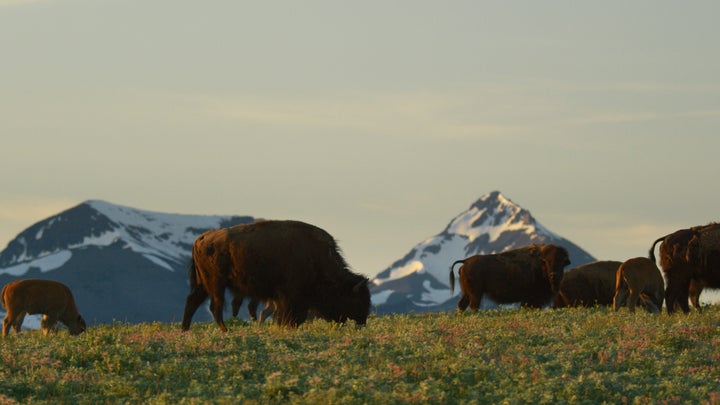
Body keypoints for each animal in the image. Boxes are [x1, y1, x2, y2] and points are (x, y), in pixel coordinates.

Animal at [181, 220, 370, 330]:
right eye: (357, 299)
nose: (362, 321)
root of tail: (201, 238)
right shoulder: (291, 297)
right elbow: (291, 316)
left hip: (203, 285)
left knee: (193, 302)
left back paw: (186, 329)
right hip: (215, 284)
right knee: (215, 306)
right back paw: (225, 330)